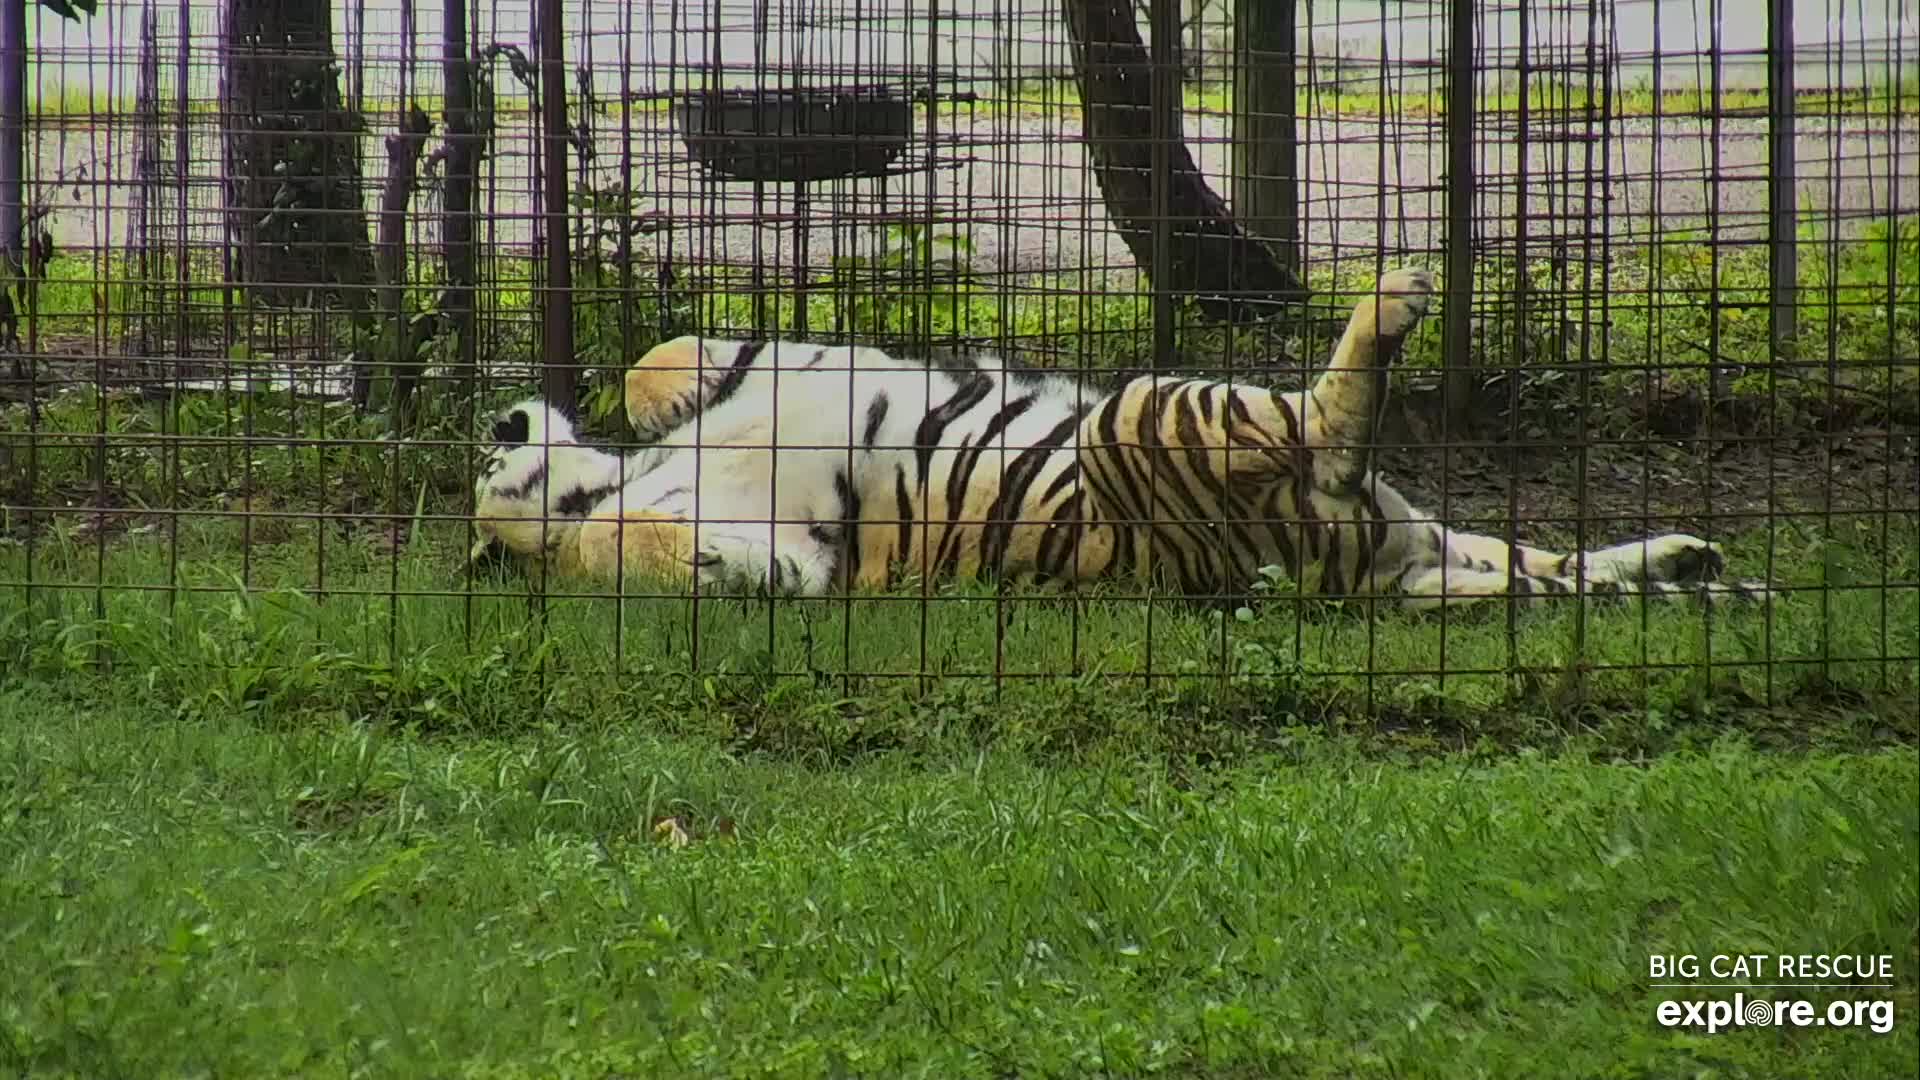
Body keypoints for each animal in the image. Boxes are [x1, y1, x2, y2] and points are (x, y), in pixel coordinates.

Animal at [468, 267, 1771, 610]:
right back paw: (1390, 300)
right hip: (1159, 410)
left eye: (490, 451)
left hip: (1439, 540)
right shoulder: (793, 560)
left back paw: (1697, 562)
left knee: (1549, 568)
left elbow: (662, 357)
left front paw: (653, 395)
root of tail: (1357, 566)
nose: (498, 420)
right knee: (1323, 426)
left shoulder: (784, 363)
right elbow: (645, 550)